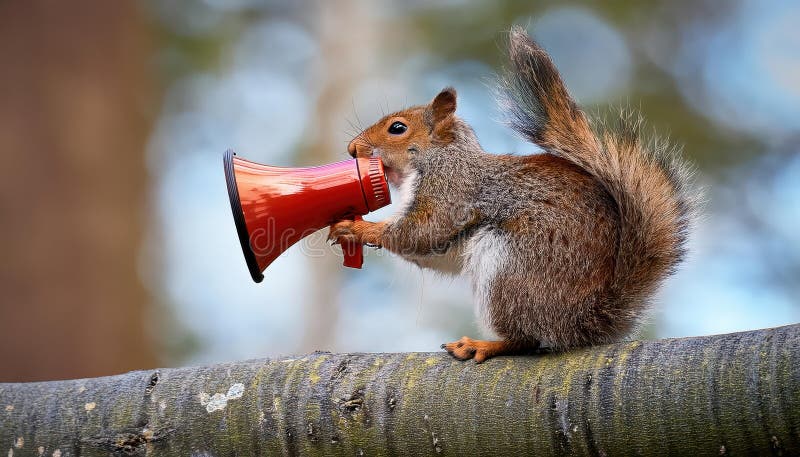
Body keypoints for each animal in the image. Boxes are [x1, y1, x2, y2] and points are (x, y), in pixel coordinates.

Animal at [329, 27, 694, 363]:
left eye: (398, 128)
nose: (352, 149)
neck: (439, 156)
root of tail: (584, 320)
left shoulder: (453, 189)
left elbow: (423, 231)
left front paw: (361, 228)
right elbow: (433, 251)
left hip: (509, 268)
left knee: (527, 338)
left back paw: (483, 344)